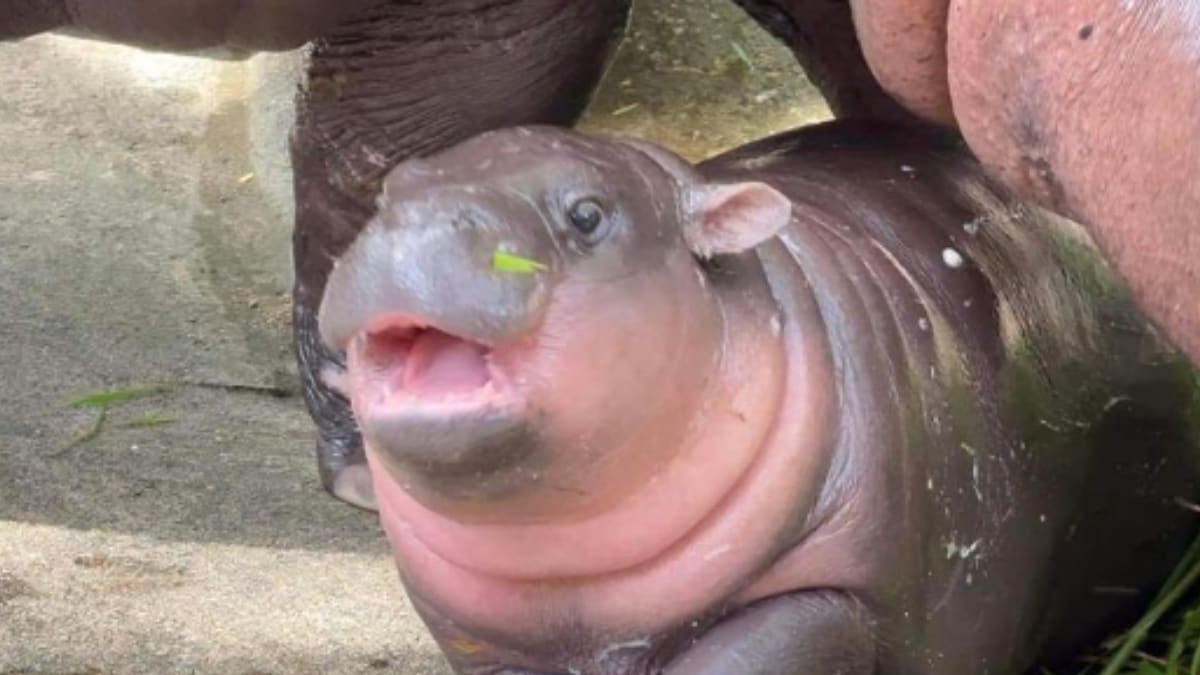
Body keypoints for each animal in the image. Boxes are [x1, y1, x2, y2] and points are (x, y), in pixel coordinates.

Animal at [315, 119, 1200, 674]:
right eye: (391, 190)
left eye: (588, 214)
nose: (415, 227)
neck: (574, 598)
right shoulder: (480, 639)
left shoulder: (825, 595)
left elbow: (750, 647)